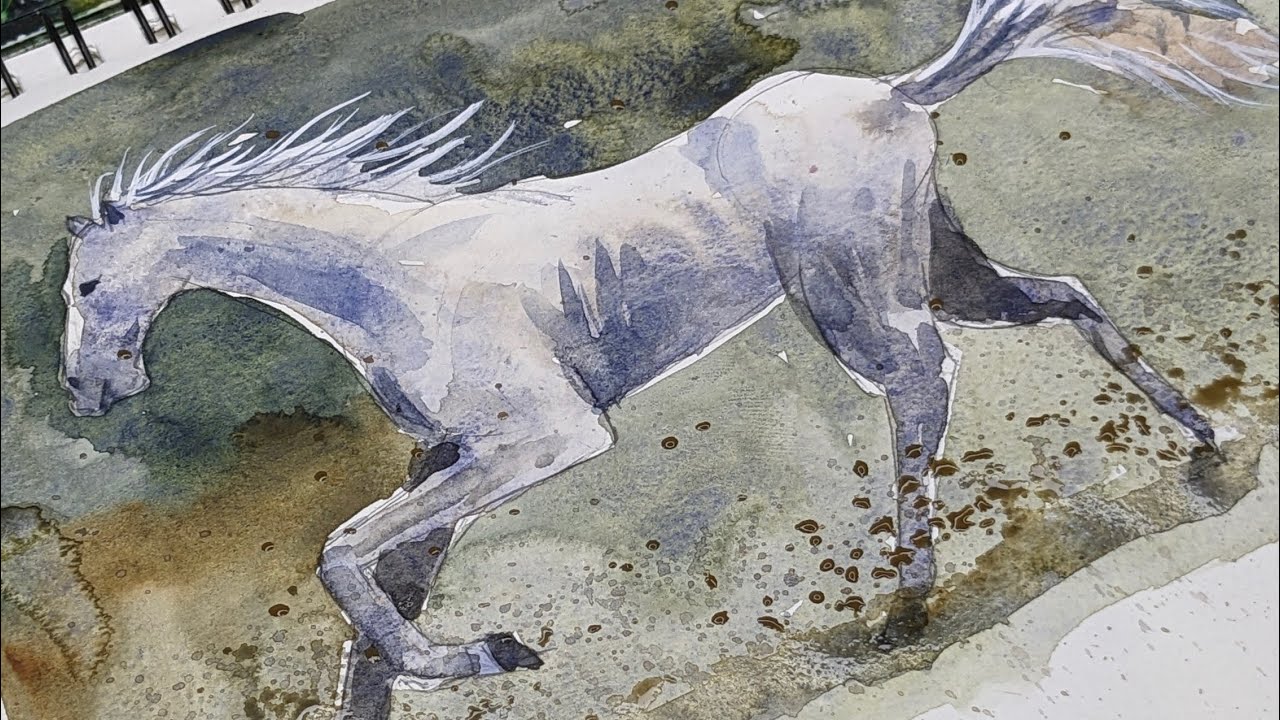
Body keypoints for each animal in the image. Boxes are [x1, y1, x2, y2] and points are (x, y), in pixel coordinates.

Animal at [58, 0, 1276, 715]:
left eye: (81, 289)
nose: (85, 389)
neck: (395, 277)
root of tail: (893, 91)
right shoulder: (446, 463)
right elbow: (366, 600)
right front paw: (466, 658)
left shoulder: (544, 439)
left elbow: (342, 555)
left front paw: (496, 651)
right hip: (939, 262)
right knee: (1061, 300)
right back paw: (1203, 437)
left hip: (855, 298)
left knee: (920, 384)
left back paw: (908, 598)